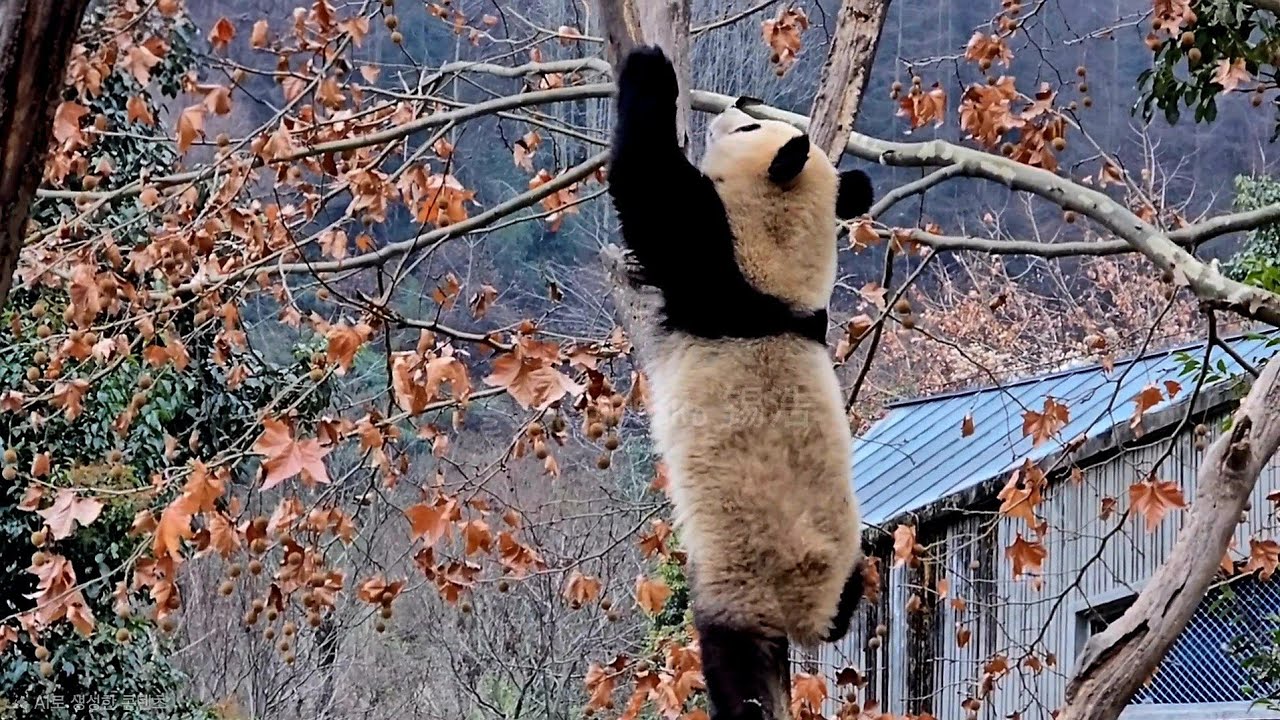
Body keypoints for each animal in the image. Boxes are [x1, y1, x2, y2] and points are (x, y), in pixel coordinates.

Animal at [607, 46, 873, 720]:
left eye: (751, 127)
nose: (745, 101)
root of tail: (810, 613)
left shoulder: (716, 268)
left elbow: (649, 187)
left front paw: (651, 70)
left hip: (743, 581)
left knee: (735, 663)